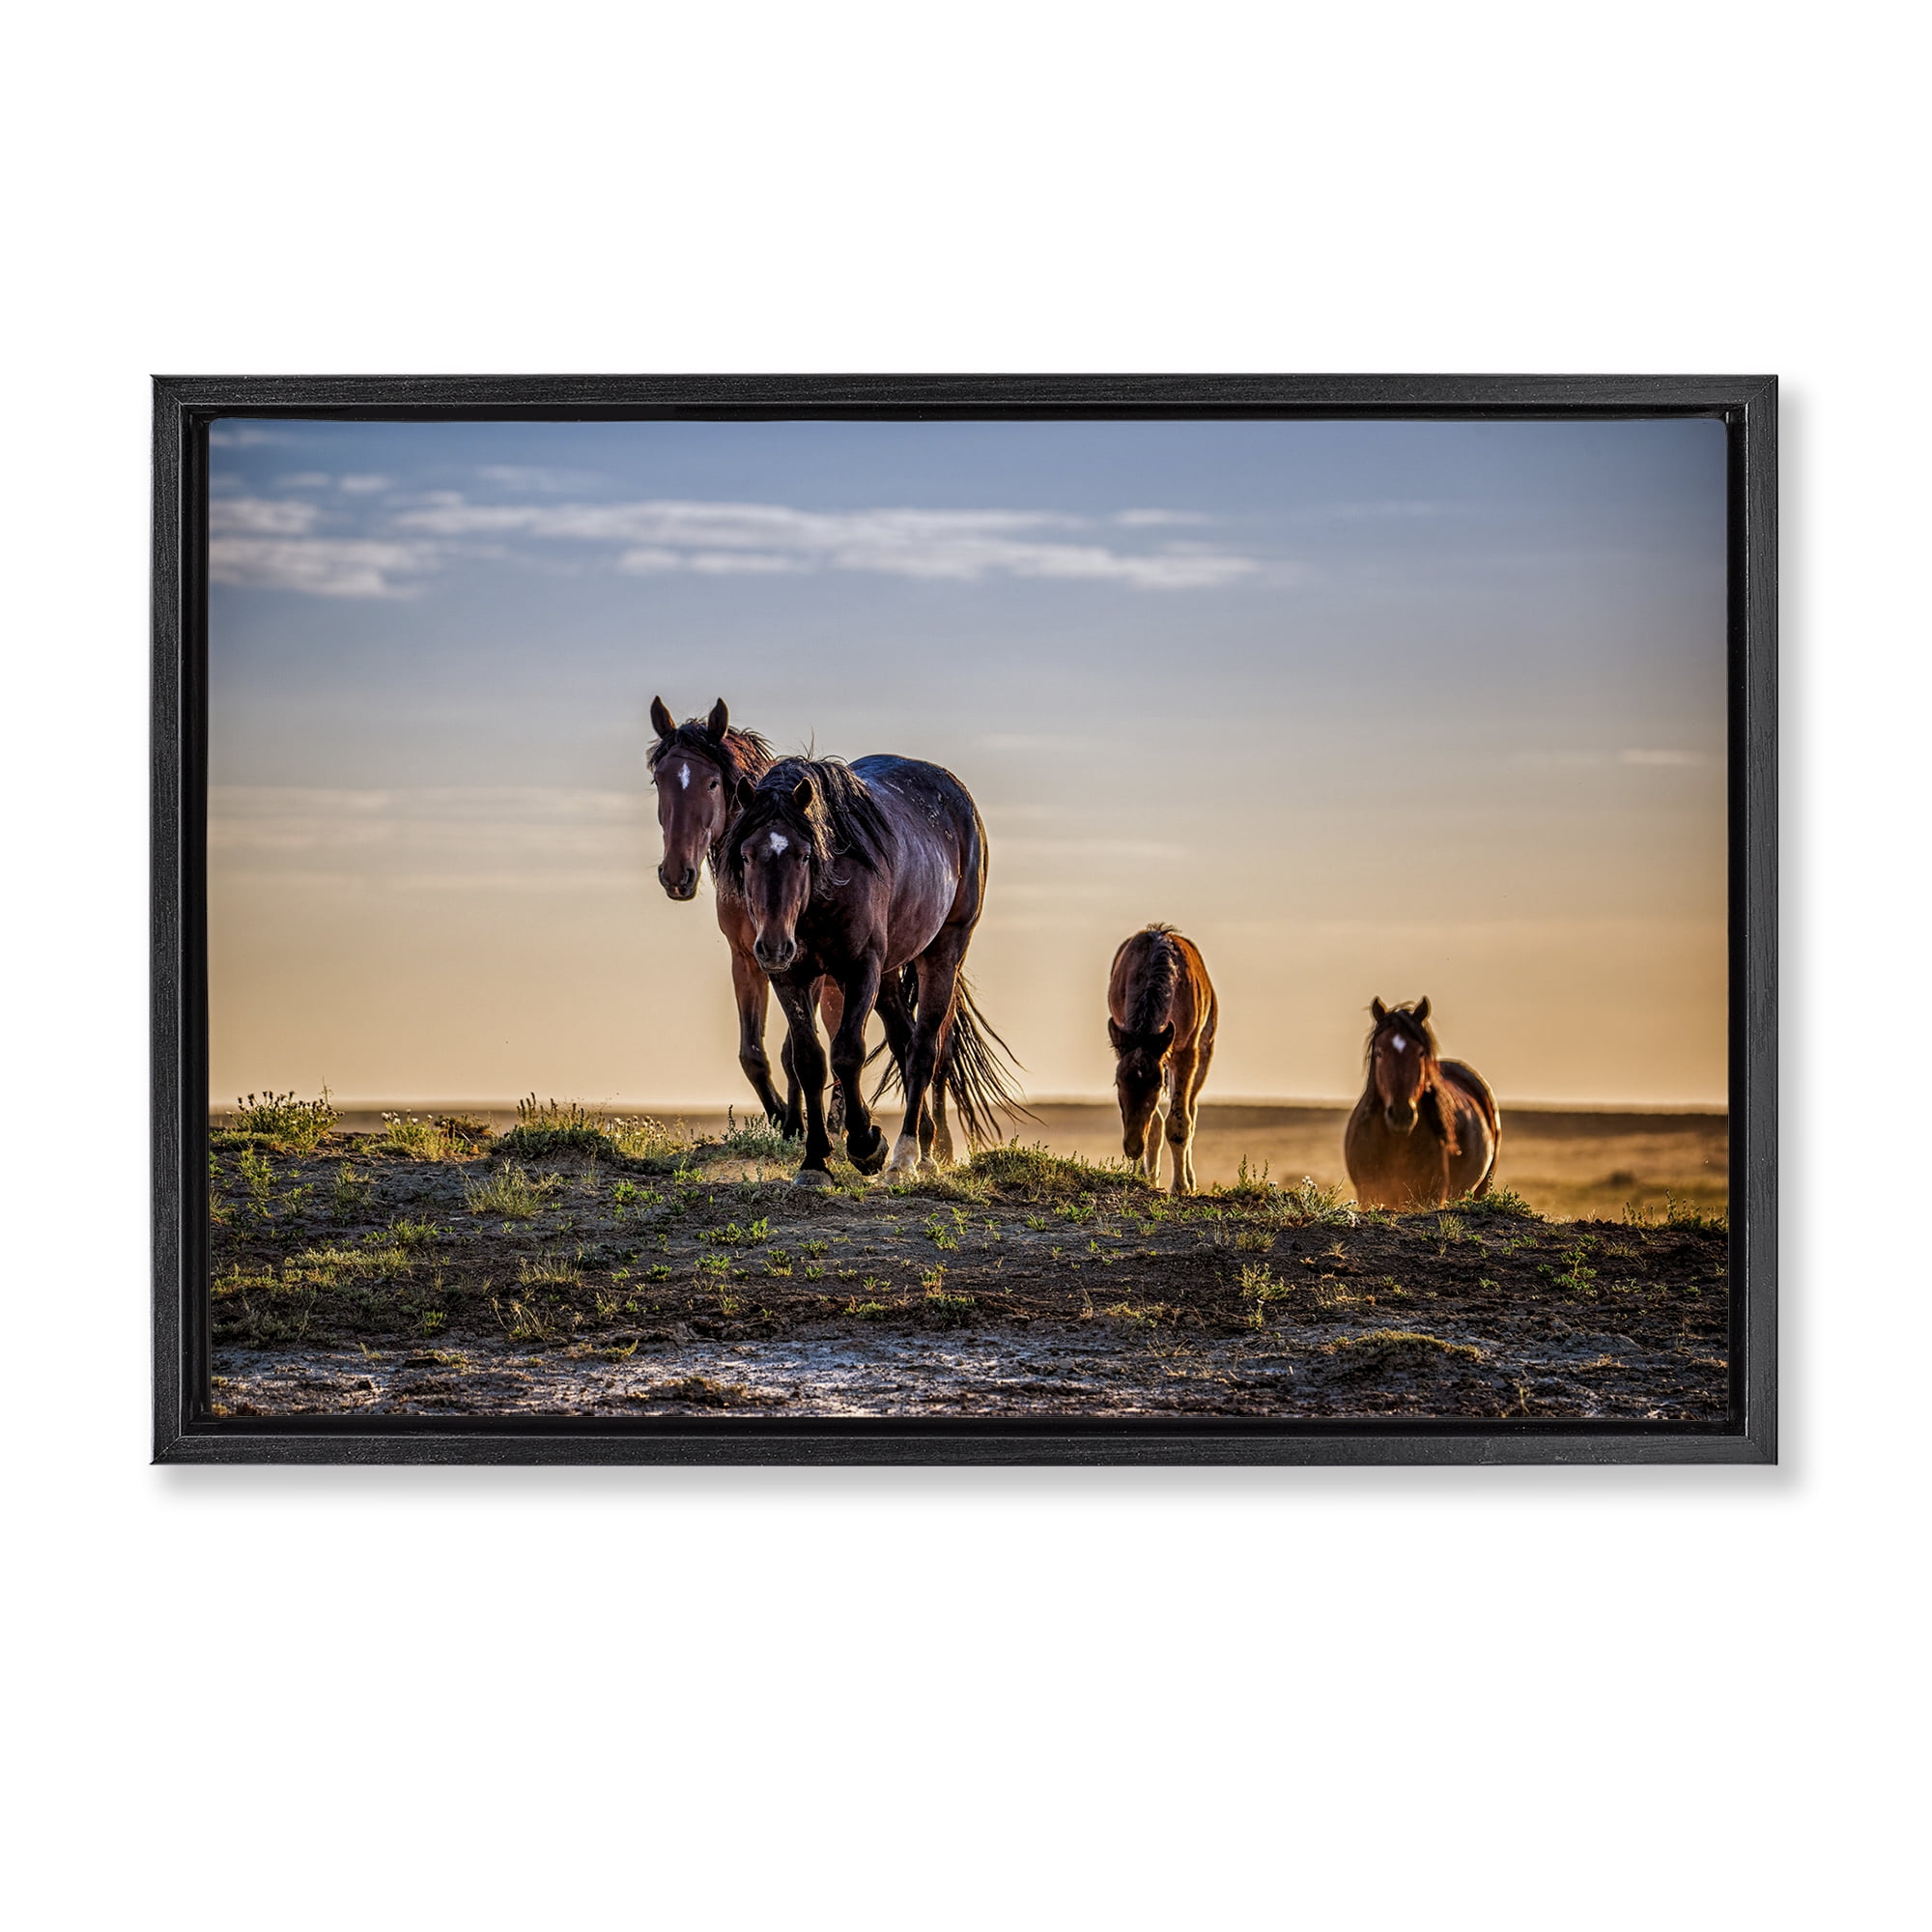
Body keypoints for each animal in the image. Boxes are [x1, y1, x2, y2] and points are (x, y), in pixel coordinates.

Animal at [722, 753, 1025, 1186]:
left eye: (804, 855)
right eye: (746, 855)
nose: (774, 946)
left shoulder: (860, 968)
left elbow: (848, 1052)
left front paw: (866, 1146)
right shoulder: (789, 977)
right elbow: (809, 1060)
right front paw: (814, 1162)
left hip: (943, 953)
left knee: (923, 1049)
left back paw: (905, 1157)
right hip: (888, 976)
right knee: (903, 1040)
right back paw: (925, 1148)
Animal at [1107, 923, 1217, 1196]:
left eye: (1156, 1084)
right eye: (1118, 1083)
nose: (1132, 1146)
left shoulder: (1186, 1052)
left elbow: (1179, 1123)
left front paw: (1180, 1186)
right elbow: (1155, 1123)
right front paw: (1142, 1176)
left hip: (1204, 1053)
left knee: (1191, 1111)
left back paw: (1190, 1180)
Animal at [1343, 997, 1501, 1210]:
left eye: (1420, 1053)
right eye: (1379, 1052)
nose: (1401, 1115)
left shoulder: (1430, 1198)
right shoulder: (1367, 1194)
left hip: (1482, 1186)